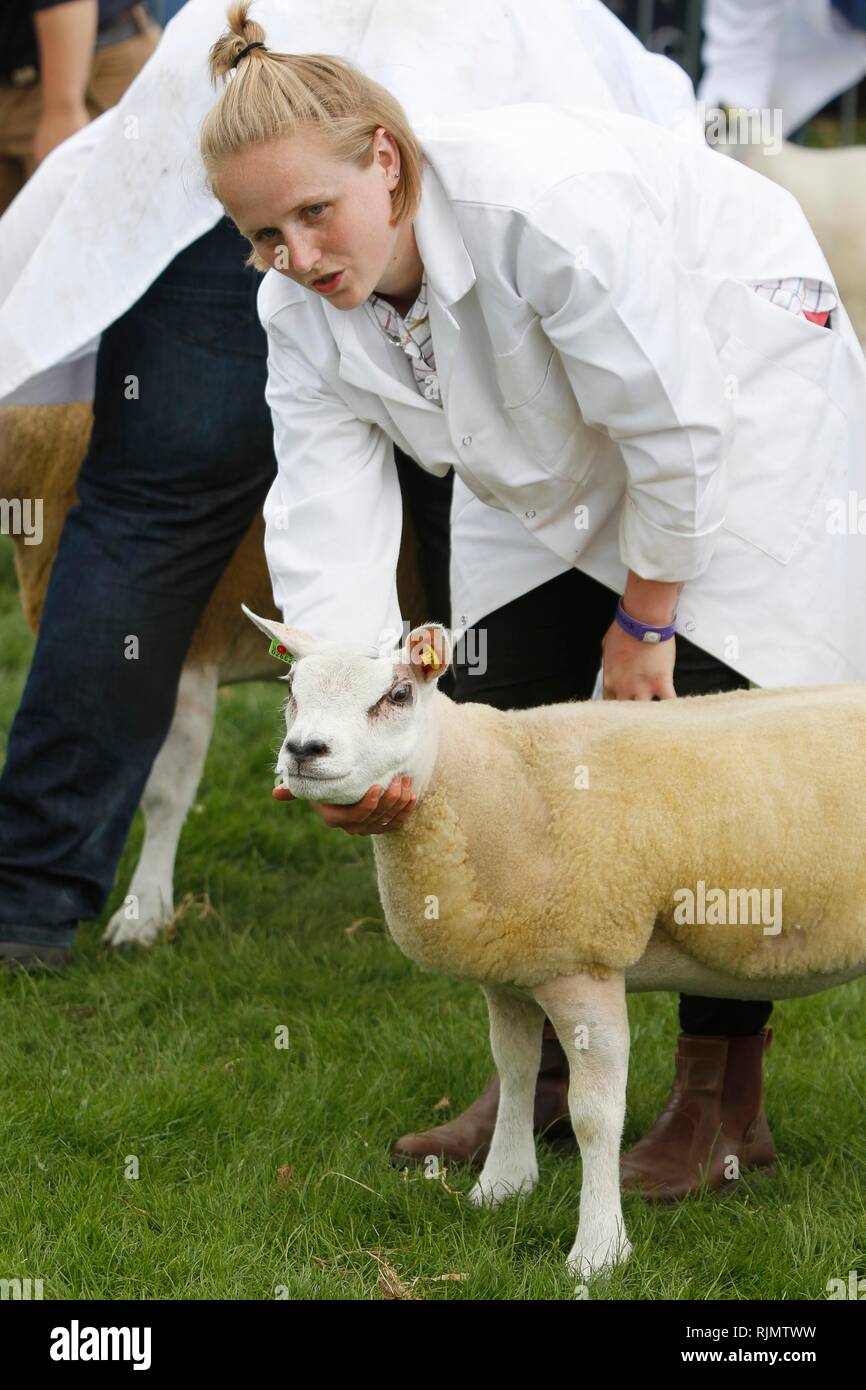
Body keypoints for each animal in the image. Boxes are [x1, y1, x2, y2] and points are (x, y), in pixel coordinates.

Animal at [242, 606, 866, 1281]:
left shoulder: (584, 960)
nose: (303, 751)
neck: (494, 778)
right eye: (290, 690)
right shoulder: (512, 968)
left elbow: (595, 1118)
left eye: (398, 695)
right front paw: (501, 1186)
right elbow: (515, 1072)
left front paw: (599, 1250)